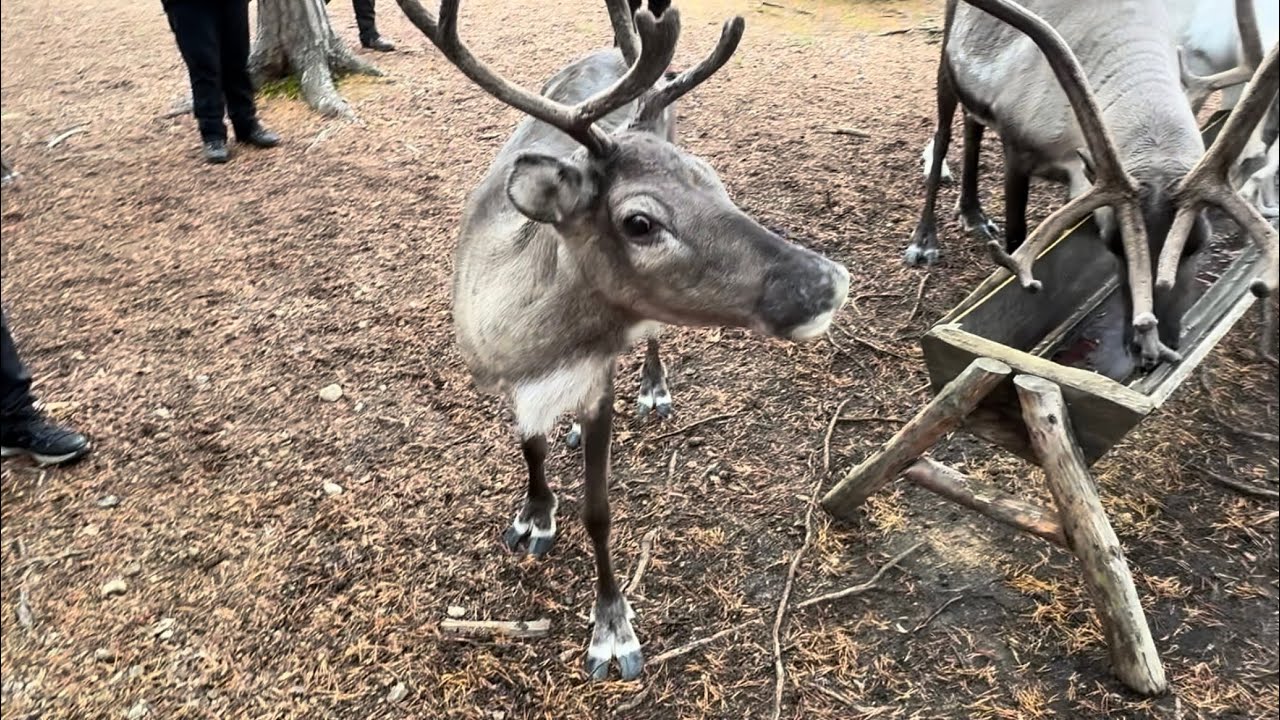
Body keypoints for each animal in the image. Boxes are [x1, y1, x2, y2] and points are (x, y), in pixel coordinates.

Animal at [394, 0, 850, 680]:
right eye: (639, 222)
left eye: (713, 180)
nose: (825, 282)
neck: (539, 350)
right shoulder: (506, 384)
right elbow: (530, 449)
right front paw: (533, 517)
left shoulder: (598, 382)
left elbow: (599, 511)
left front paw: (612, 630)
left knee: (653, 340)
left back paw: (654, 387)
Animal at [905, 0, 1278, 373]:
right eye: (1112, 243)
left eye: (1199, 243)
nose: (1151, 352)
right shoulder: (1017, 149)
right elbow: (1017, 239)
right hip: (948, 63)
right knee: (944, 135)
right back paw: (924, 241)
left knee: (972, 124)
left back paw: (973, 213)